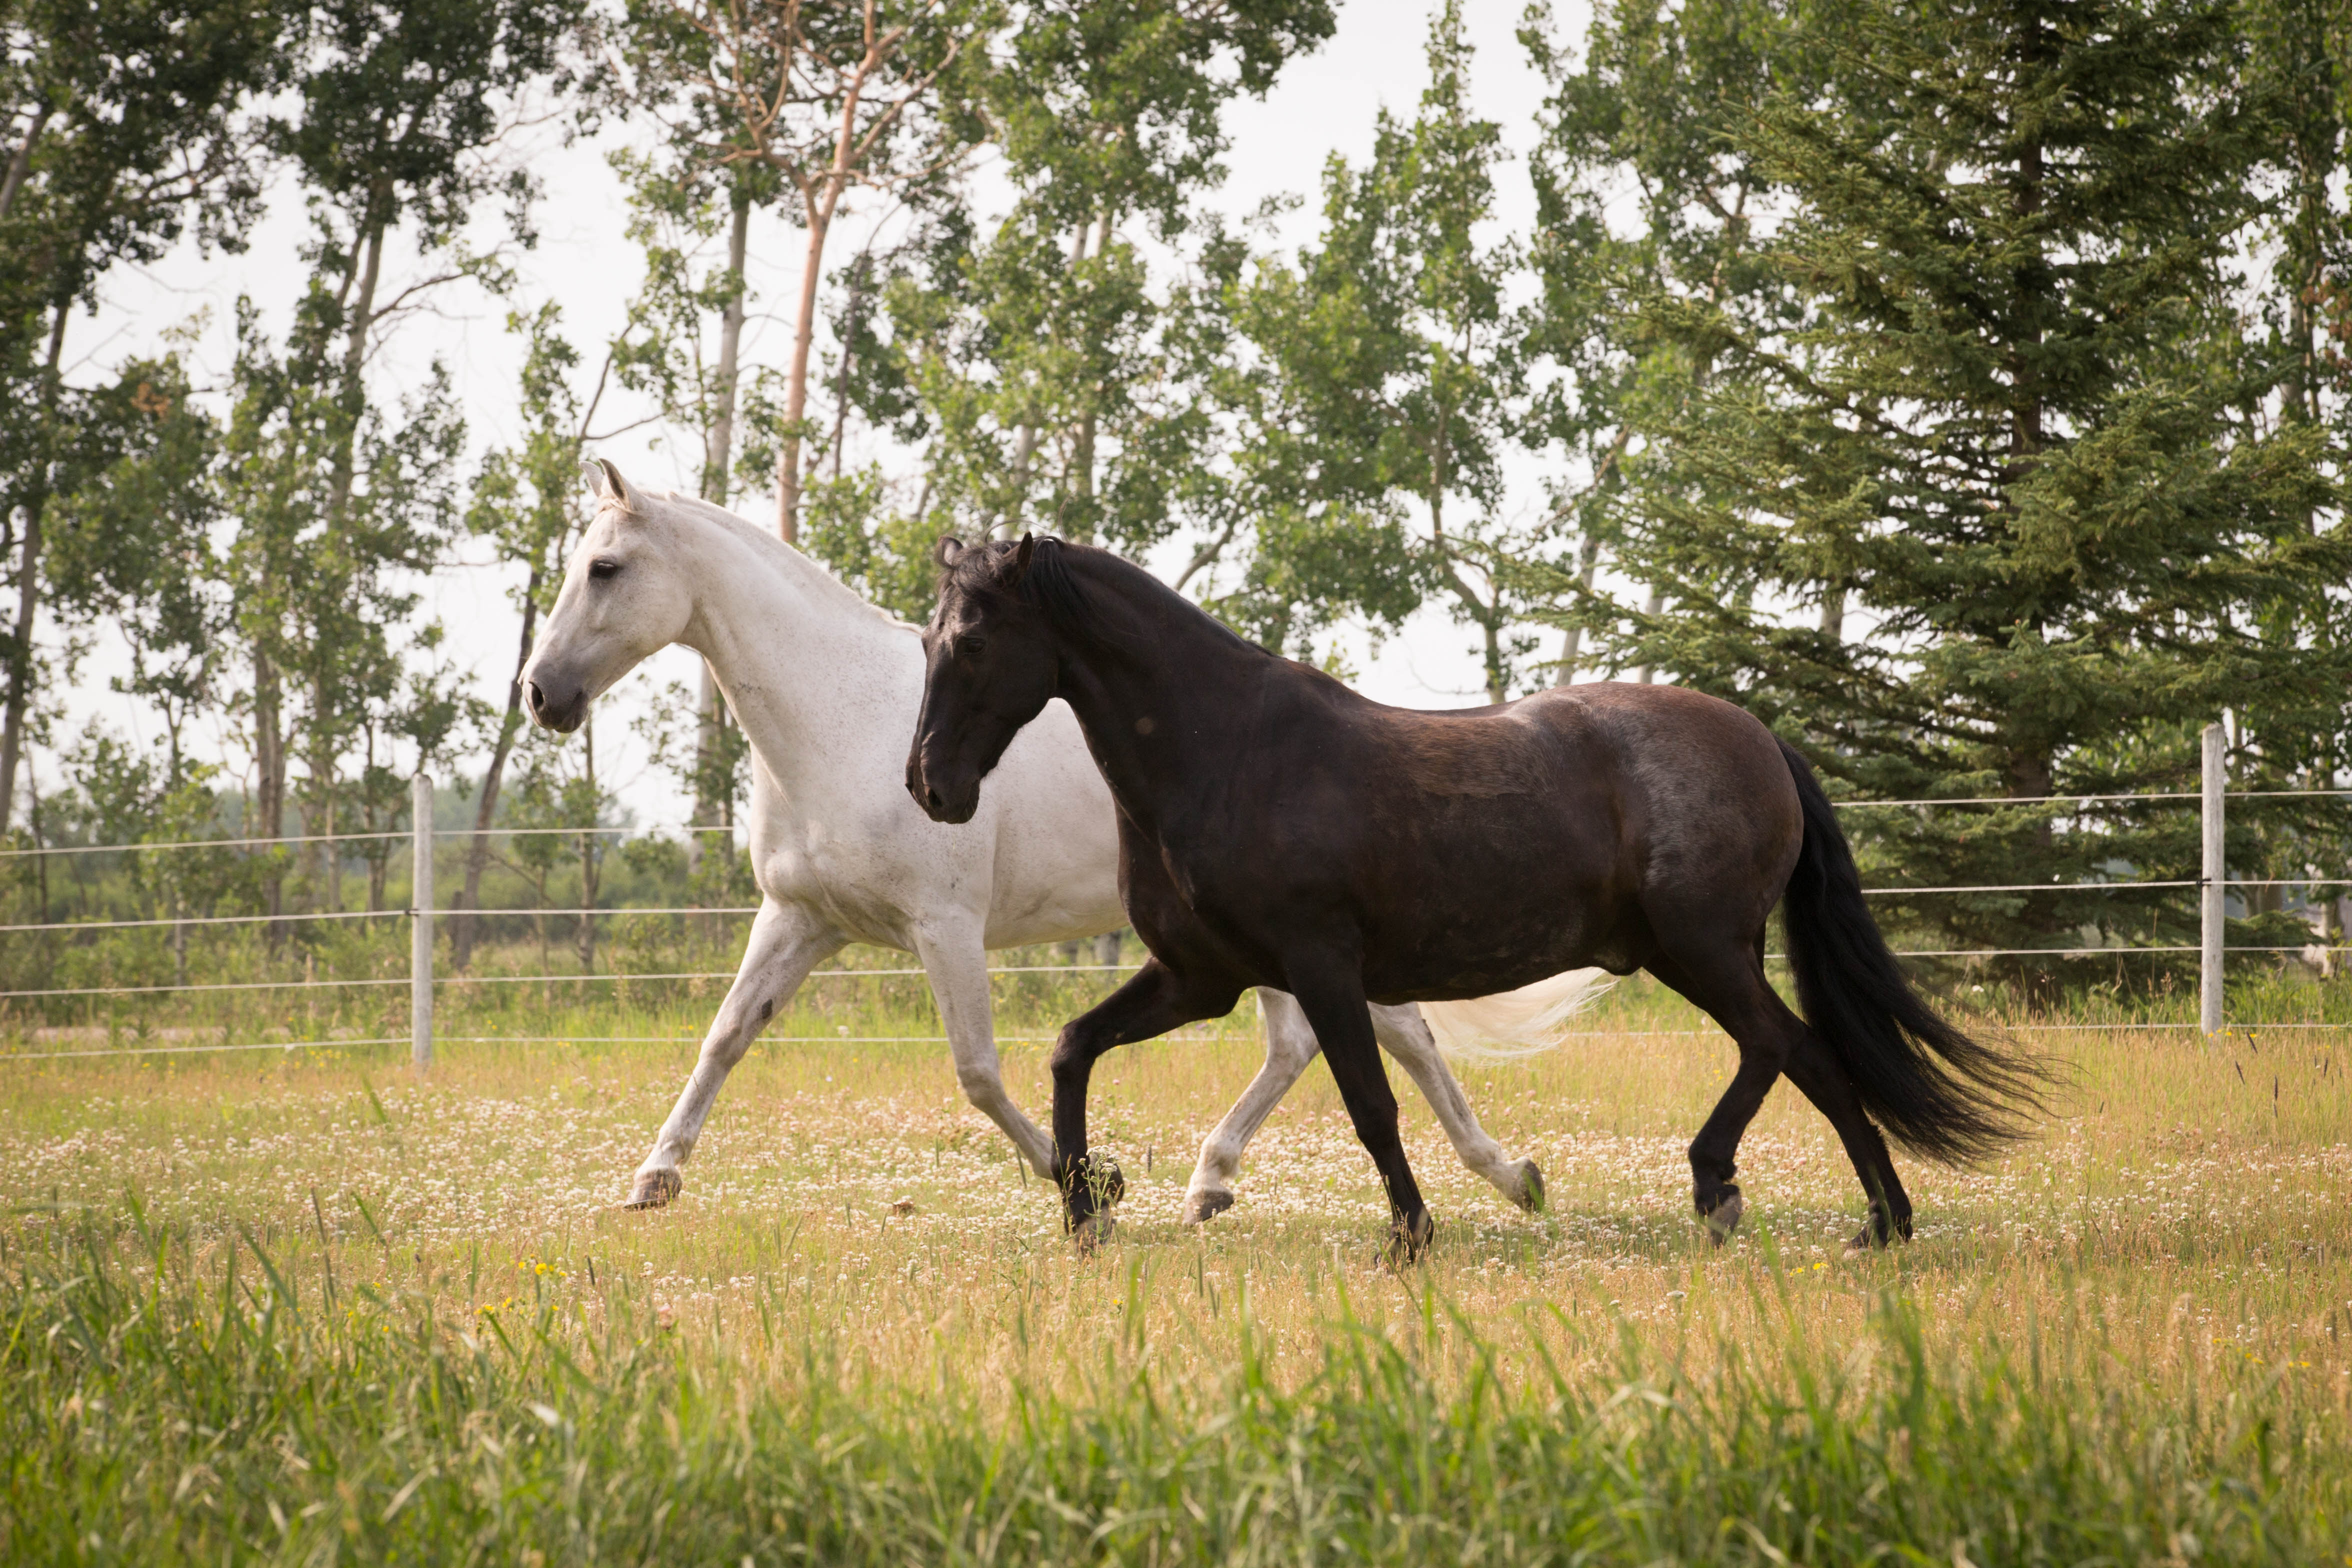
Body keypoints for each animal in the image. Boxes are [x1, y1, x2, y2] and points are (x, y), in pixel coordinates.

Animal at [519, 460, 1606, 1217]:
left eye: (605, 568)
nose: (541, 694)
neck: (839, 721)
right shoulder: (799, 919)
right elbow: (726, 1036)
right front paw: (654, 1175)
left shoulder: (944, 927)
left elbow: (977, 1072)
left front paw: (1094, 1179)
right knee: (1346, 1038)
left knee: (1364, 1036)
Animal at [905, 535, 2046, 1256]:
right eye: (928, 641)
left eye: (973, 642)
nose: (929, 787)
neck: (1225, 752)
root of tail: (1762, 740)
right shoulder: (1200, 977)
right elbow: (1071, 1048)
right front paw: (1086, 1209)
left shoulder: (1320, 963)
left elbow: (1370, 1104)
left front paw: (1409, 1236)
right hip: (1691, 953)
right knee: (1788, 1051)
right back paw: (1769, 1199)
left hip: (1706, 948)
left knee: (1798, 1050)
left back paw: (1835, 1212)